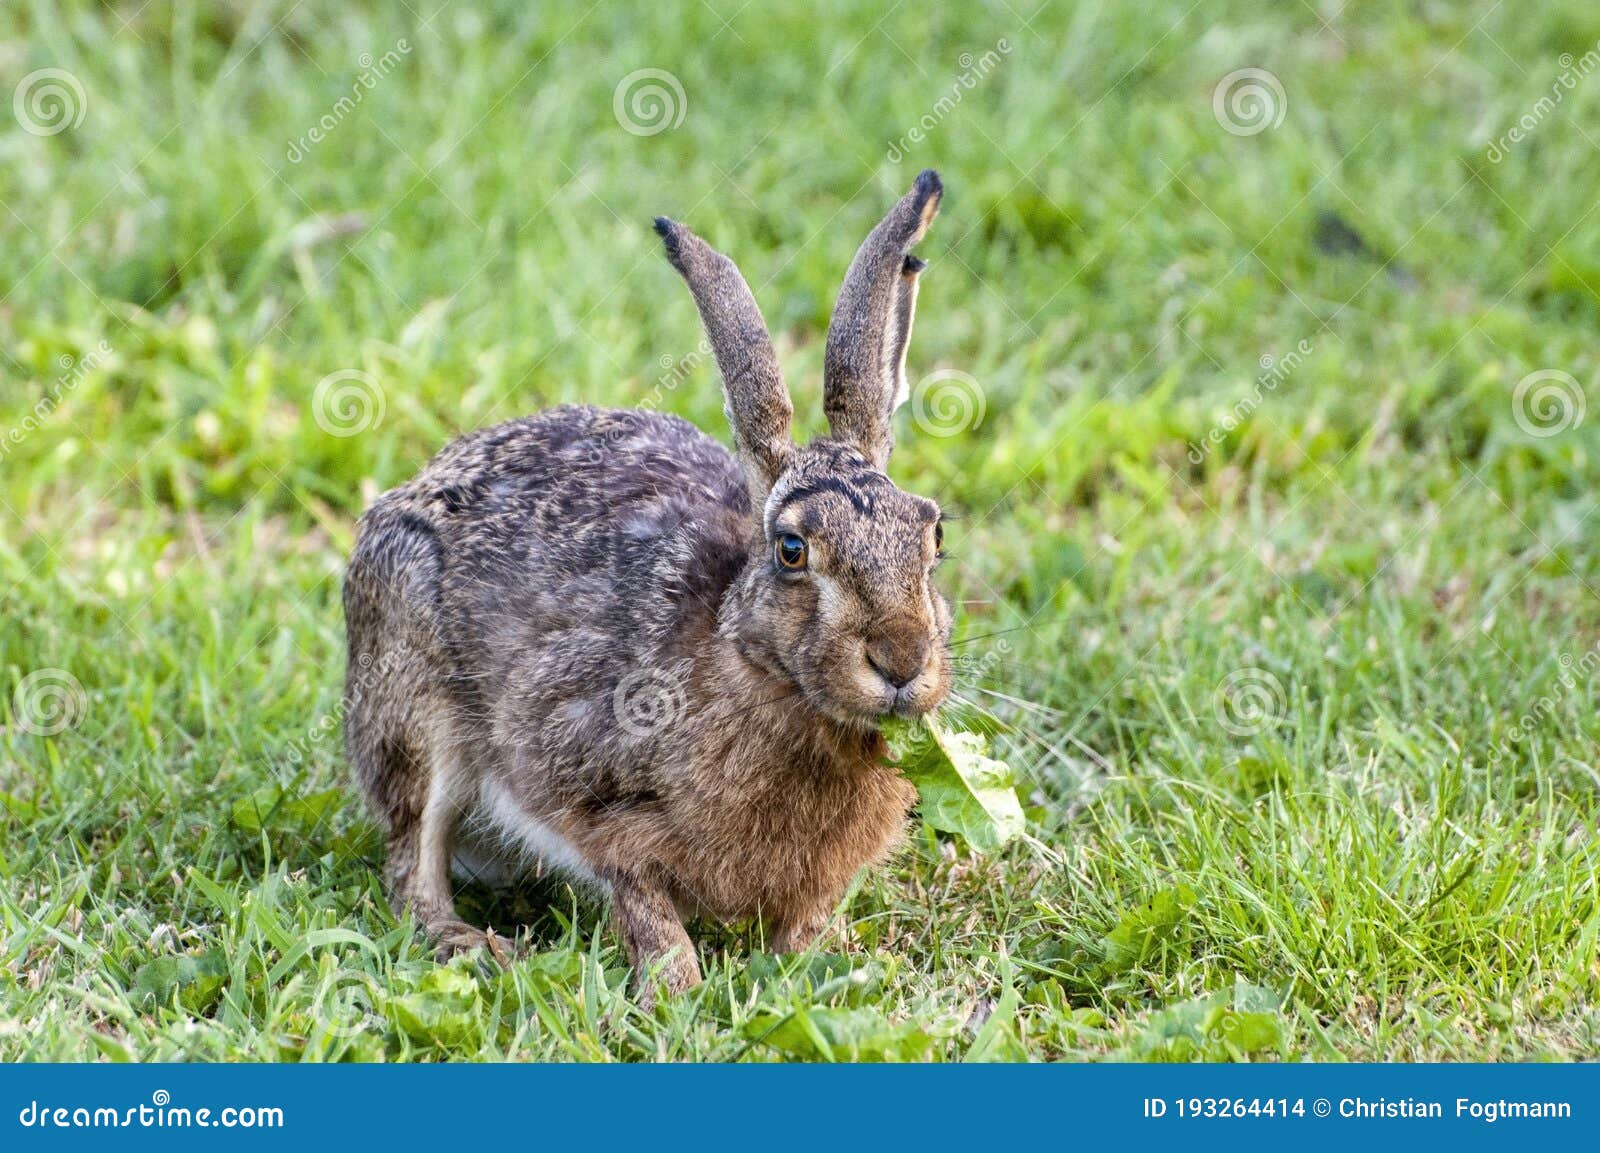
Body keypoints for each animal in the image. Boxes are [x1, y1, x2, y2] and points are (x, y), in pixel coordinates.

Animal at [342, 169, 952, 1001]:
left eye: (933, 534)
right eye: (793, 549)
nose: (902, 660)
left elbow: (804, 922)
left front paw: (821, 966)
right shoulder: (592, 793)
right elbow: (644, 904)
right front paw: (677, 992)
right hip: (413, 703)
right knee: (412, 868)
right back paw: (479, 946)